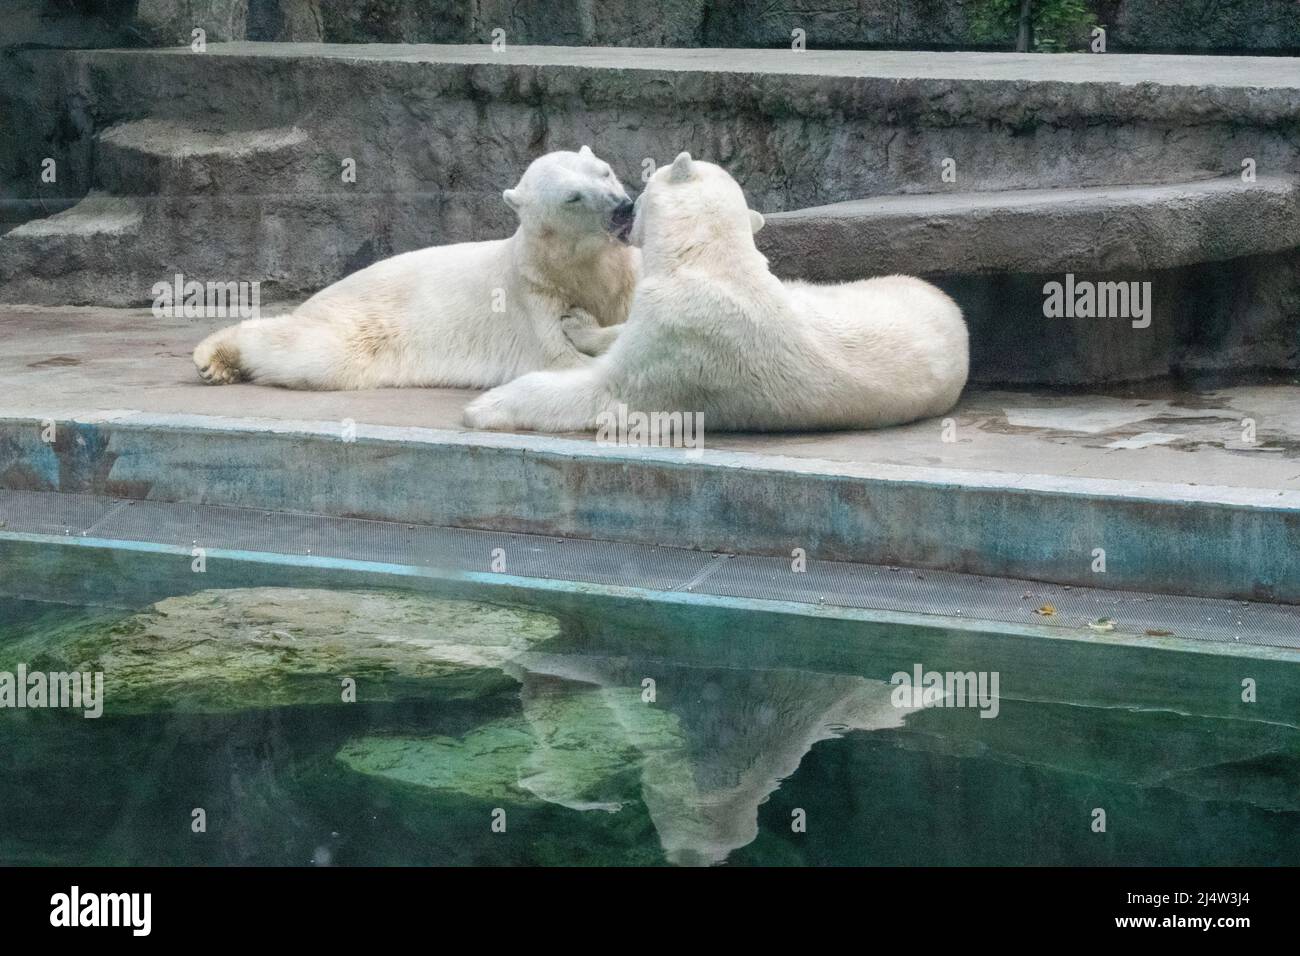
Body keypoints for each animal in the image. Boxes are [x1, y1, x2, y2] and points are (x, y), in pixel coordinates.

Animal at [193, 147, 638, 389]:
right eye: (573, 196)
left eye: (604, 171)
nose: (623, 207)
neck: (578, 267)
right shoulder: (536, 297)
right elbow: (565, 359)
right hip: (362, 322)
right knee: (312, 353)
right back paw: (214, 357)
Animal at [462, 152, 969, 433]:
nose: (626, 209)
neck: (706, 261)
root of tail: (955, 311)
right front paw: (577, 322)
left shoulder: (679, 345)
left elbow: (601, 391)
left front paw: (485, 406)